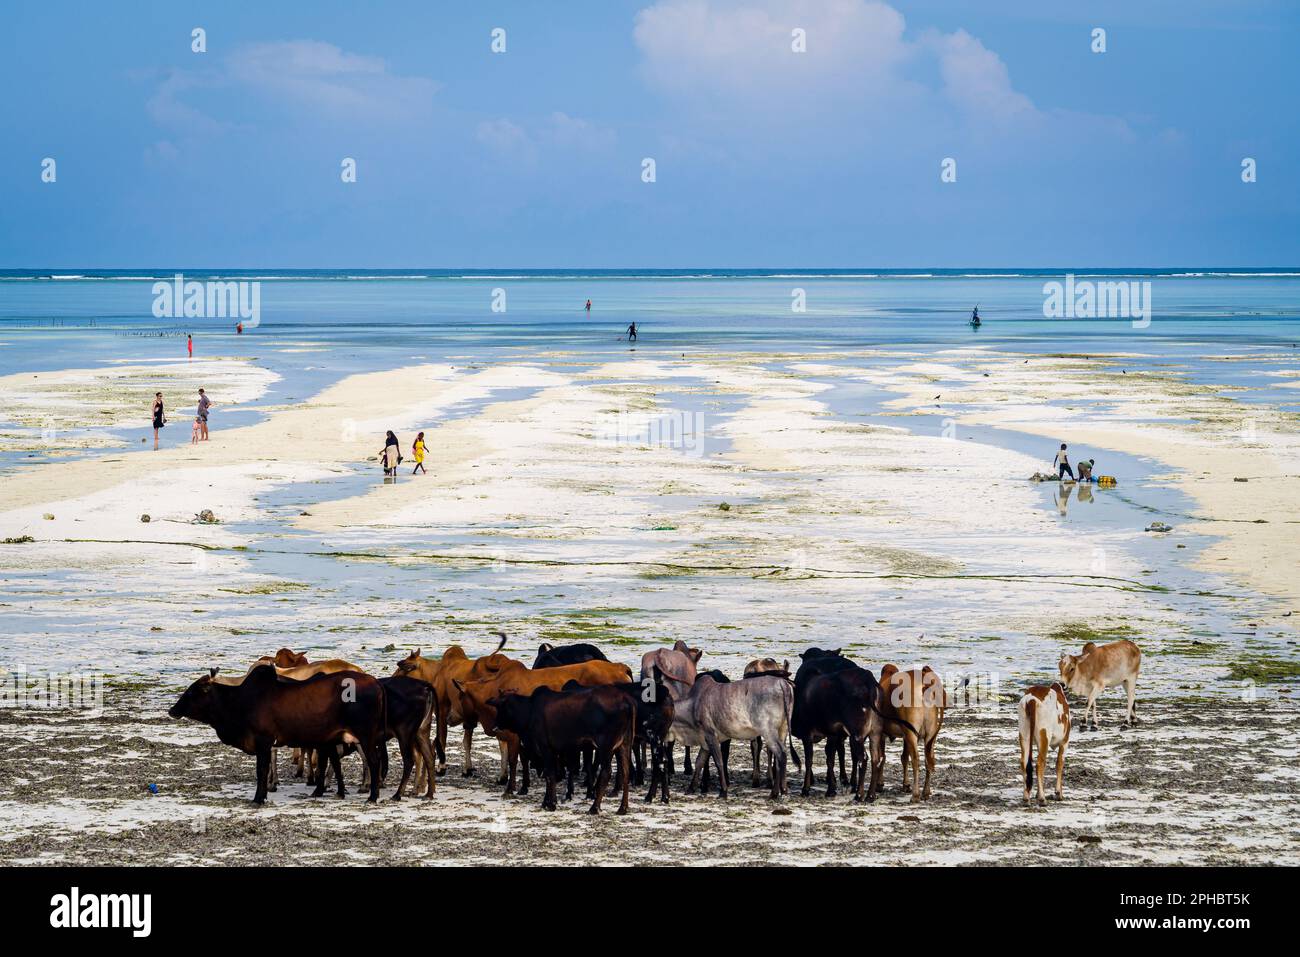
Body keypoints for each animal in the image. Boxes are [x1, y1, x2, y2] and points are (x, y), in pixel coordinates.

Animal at [168, 666, 385, 804]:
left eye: (192, 692)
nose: (172, 710)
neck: (239, 702)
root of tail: (375, 683)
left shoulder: (263, 741)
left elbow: (261, 770)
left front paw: (258, 798)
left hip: (365, 736)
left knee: (374, 762)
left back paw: (372, 796)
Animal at [455, 658, 634, 795]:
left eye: (460, 697)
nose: (457, 720)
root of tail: (619, 667)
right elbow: (523, 759)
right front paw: (524, 785)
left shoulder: (514, 736)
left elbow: (513, 761)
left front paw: (511, 788)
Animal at [489, 684, 635, 814]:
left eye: (500, 708)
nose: (495, 726)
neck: (528, 712)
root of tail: (626, 699)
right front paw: (547, 801)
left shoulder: (546, 748)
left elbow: (550, 775)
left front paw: (551, 804)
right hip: (624, 744)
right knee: (626, 772)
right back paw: (623, 808)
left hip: (606, 746)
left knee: (606, 772)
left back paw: (594, 808)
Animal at [876, 664, 948, 802]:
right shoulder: (905, 736)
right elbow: (904, 757)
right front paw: (906, 784)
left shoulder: (881, 732)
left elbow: (882, 757)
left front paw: (879, 784)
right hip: (929, 735)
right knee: (928, 759)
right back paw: (926, 792)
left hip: (911, 732)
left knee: (916, 759)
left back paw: (915, 795)